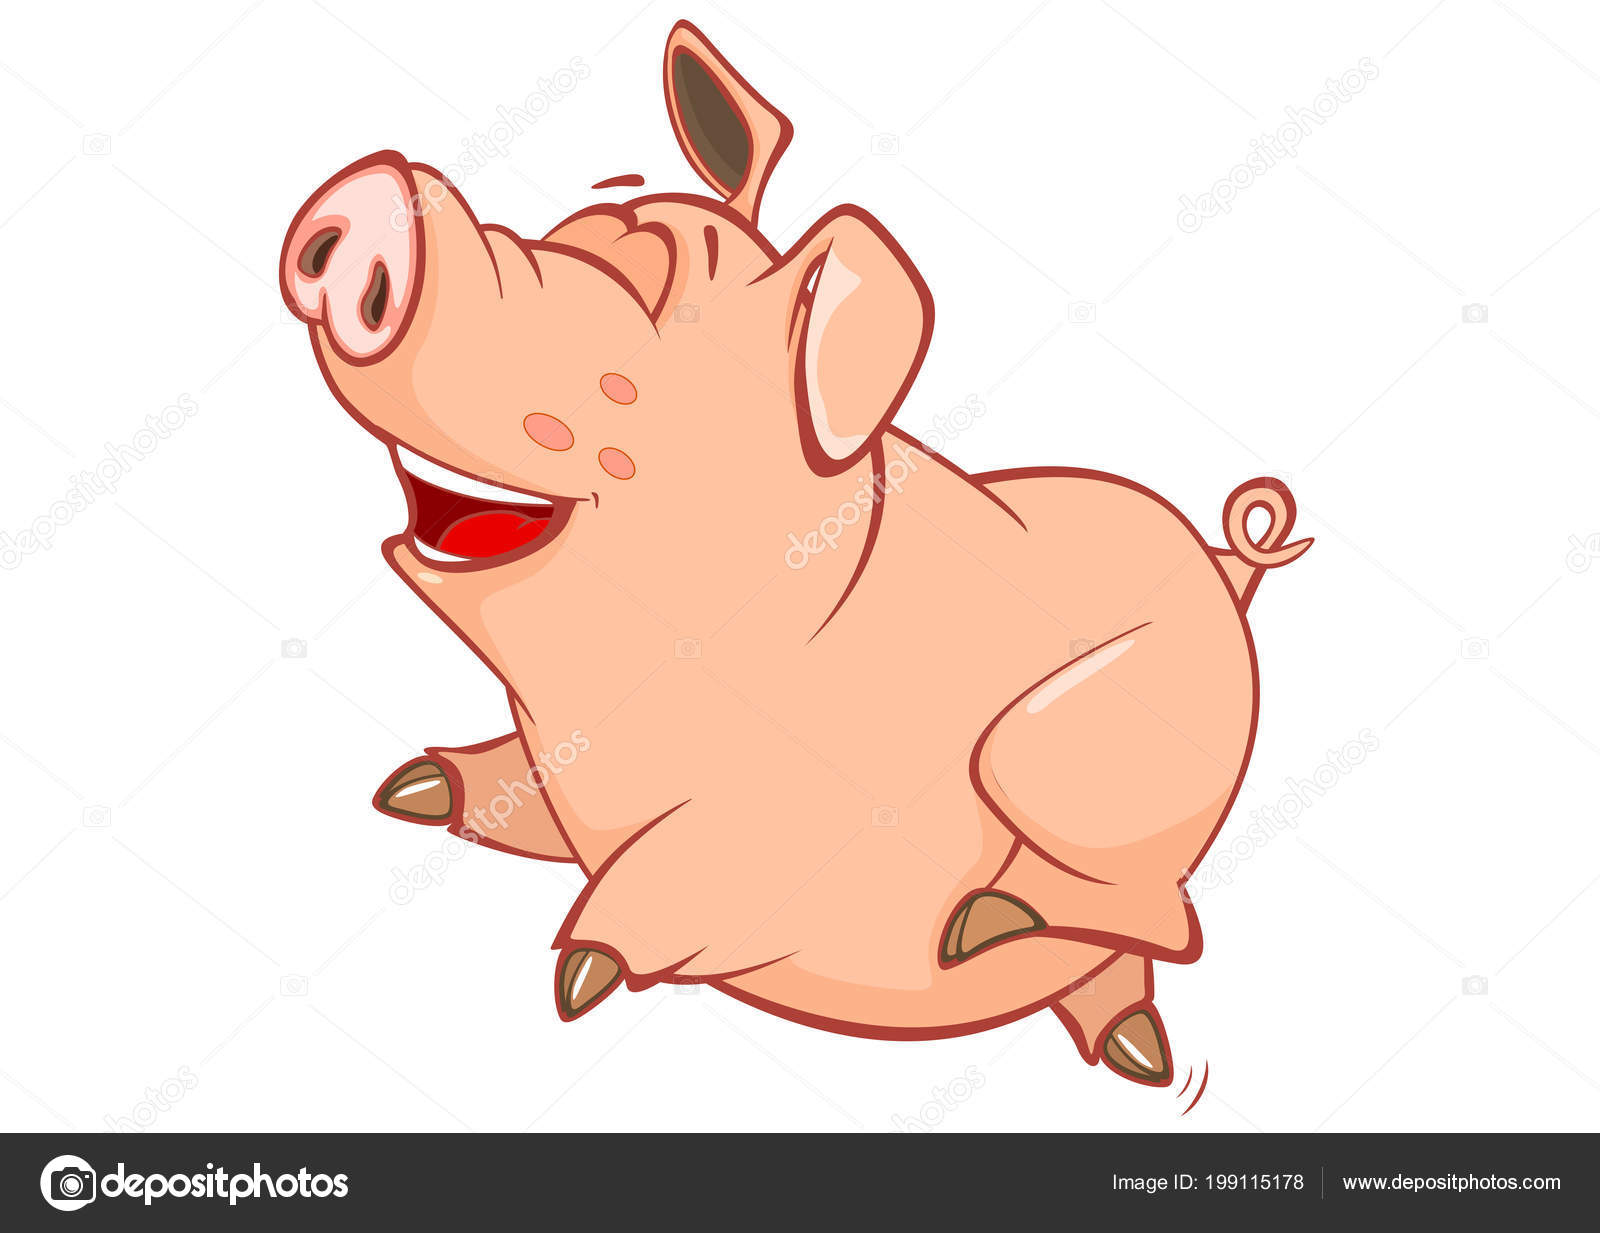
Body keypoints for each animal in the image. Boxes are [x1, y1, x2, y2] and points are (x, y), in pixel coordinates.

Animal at [279, 20, 1309, 1088]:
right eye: (573, 238)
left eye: (652, 290)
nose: (373, 188)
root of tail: (1227, 573)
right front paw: (412, 789)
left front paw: (577, 979)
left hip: (1085, 742)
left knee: (1165, 917)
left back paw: (1016, 952)